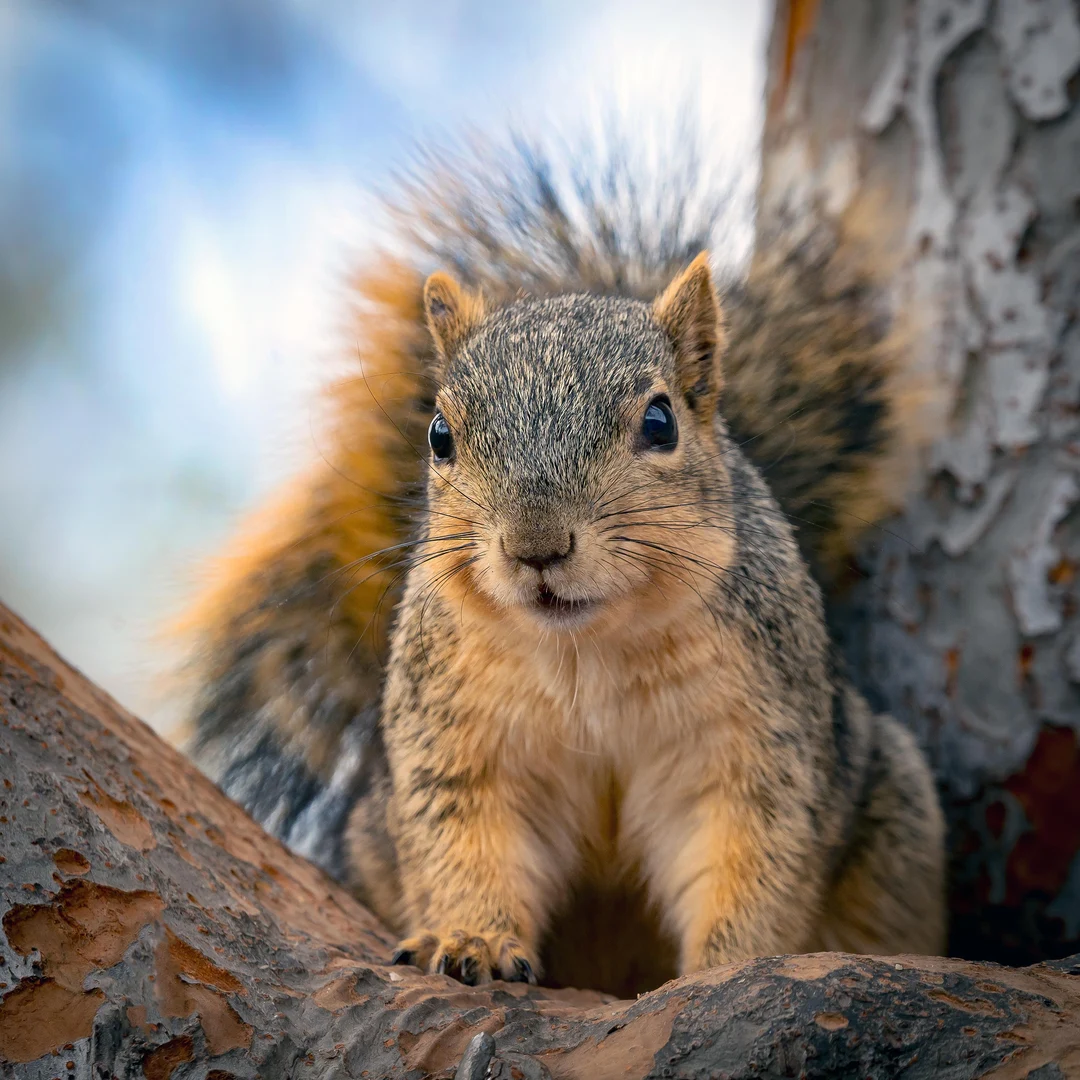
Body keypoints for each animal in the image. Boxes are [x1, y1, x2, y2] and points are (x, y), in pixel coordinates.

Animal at [176, 137, 945, 998]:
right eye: (439, 434)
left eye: (660, 420)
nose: (536, 546)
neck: (587, 651)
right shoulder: (457, 741)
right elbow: (468, 845)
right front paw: (472, 940)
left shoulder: (753, 746)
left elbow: (750, 857)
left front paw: (730, 965)